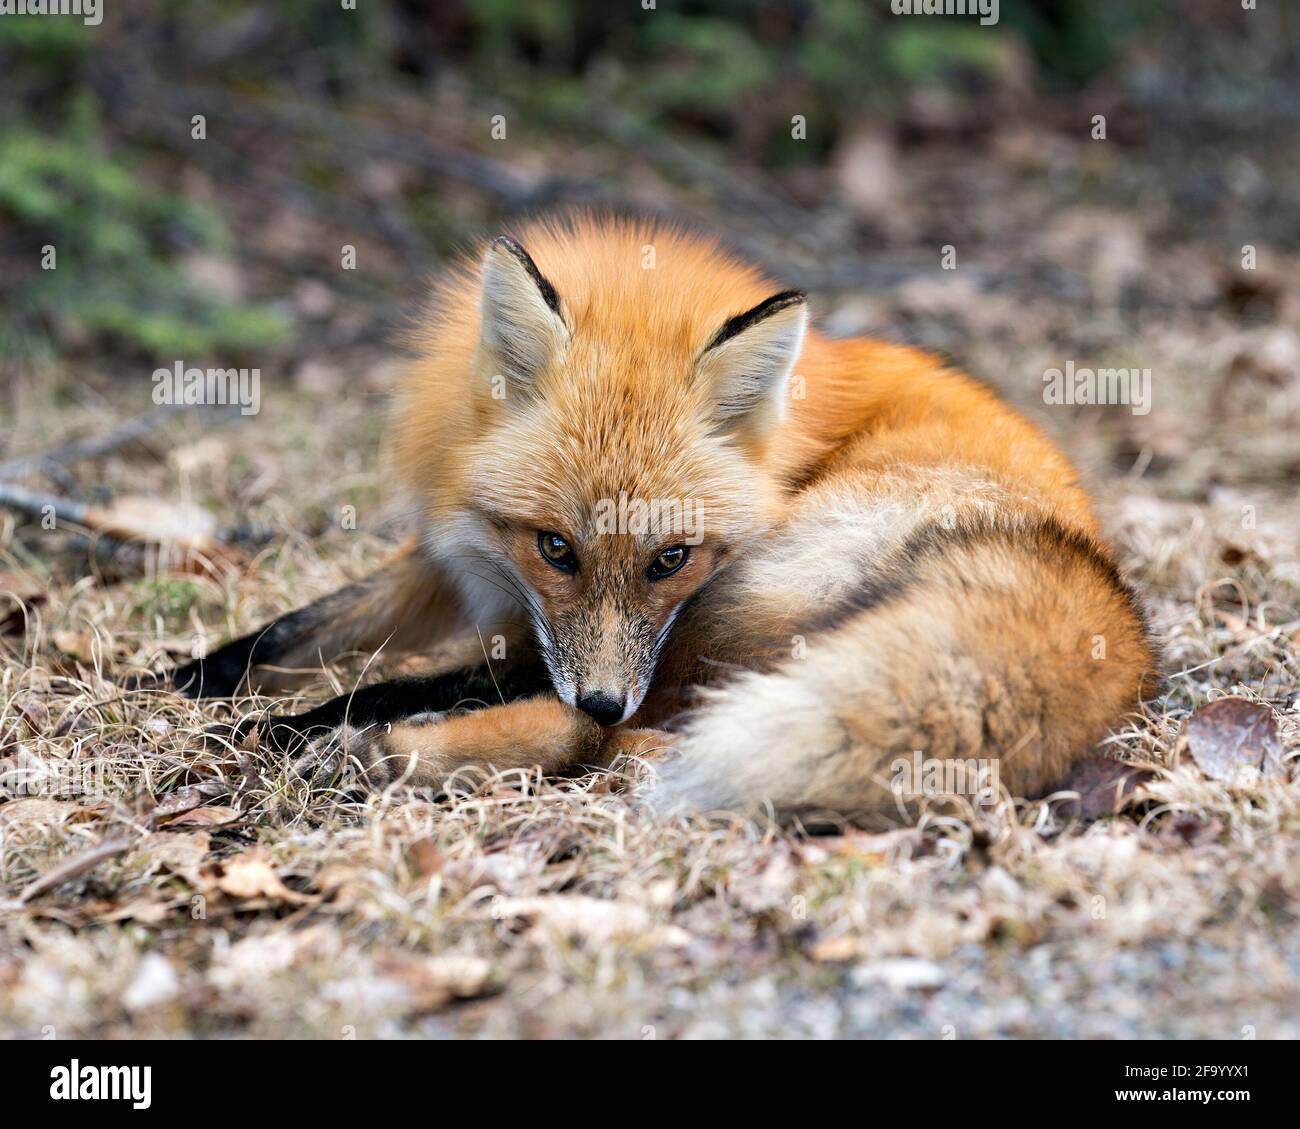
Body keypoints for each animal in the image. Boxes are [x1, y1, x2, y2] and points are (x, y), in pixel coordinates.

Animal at [167, 215, 1158, 819]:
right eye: (555, 547)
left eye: (670, 557)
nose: (606, 692)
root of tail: (1100, 582)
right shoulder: (458, 559)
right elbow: (288, 630)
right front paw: (176, 683)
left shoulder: (554, 647)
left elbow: (393, 681)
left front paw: (282, 725)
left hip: (727, 613)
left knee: (597, 736)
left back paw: (379, 755)